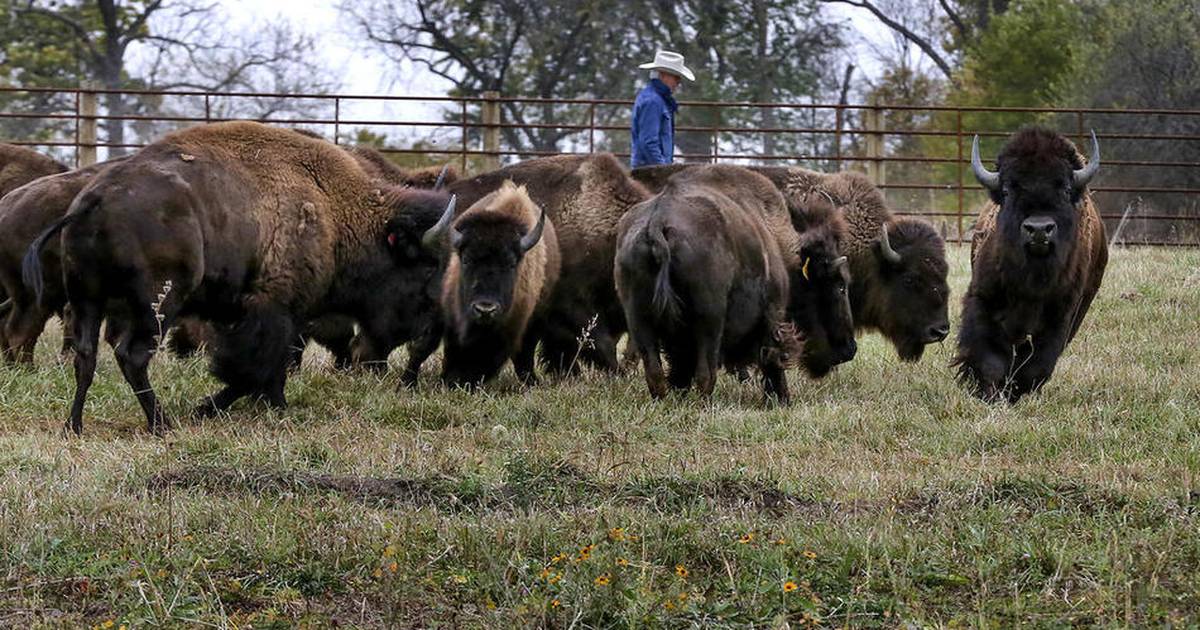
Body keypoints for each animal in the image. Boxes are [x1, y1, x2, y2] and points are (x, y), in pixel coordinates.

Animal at [23, 121, 451, 434]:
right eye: (424, 266)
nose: (428, 325)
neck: (335, 209)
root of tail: (94, 201)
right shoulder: (272, 308)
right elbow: (256, 367)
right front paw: (210, 408)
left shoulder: (272, 315)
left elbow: (272, 367)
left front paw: (273, 406)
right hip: (158, 304)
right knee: (132, 355)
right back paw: (163, 424)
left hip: (88, 301)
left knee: (86, 356)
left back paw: (75, 425)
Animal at [616, 165, 855, 402]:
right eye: (840, 285)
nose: (849, 350)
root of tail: (658, 222)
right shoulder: (772, 313)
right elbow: (772, 358)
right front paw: (781, 399)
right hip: (709, 321)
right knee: (706, 372)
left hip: (638, 319)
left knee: (655, 370)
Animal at [954, 127, 1107, 402]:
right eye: (1007, 191)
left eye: (1065, 189)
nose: (1038, 229)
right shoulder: (983, 300)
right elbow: (989, 357)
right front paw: (989, 394)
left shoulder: (1061, 316)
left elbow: (1037, 364)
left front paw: (1014, 393)